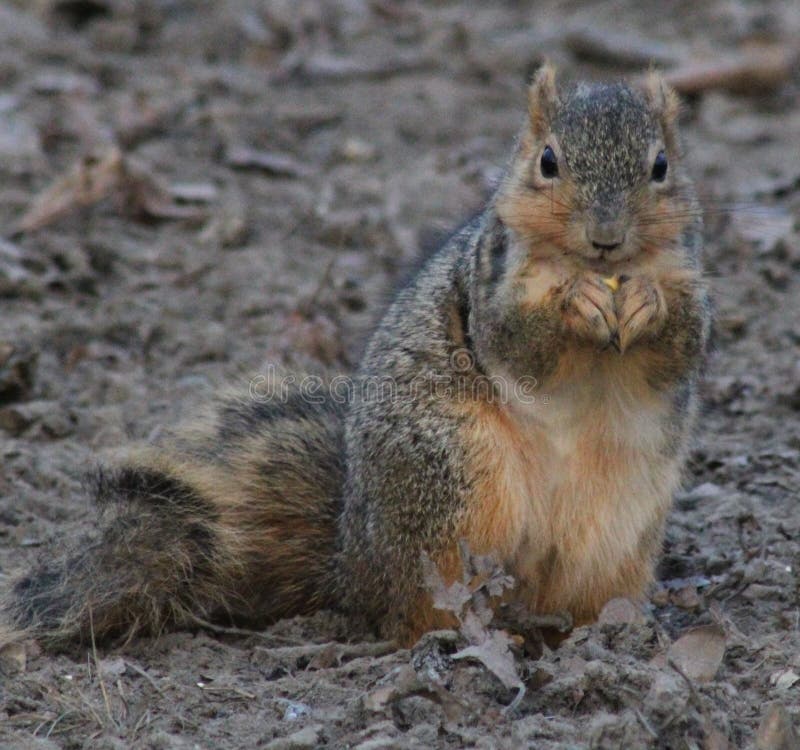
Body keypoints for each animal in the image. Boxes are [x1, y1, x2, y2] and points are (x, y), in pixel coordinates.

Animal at [4, 64, 710, 649]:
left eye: (661, 166)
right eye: (548, 161)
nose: (606, 238)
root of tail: (351, 558)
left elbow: (684, 345)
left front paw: (647, 302)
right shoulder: (489, 291)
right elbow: (521, 342)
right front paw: (576, 301)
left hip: (617, 533)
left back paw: (606, 637)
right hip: (452, 485)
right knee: (408, 614)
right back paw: (466, 635)